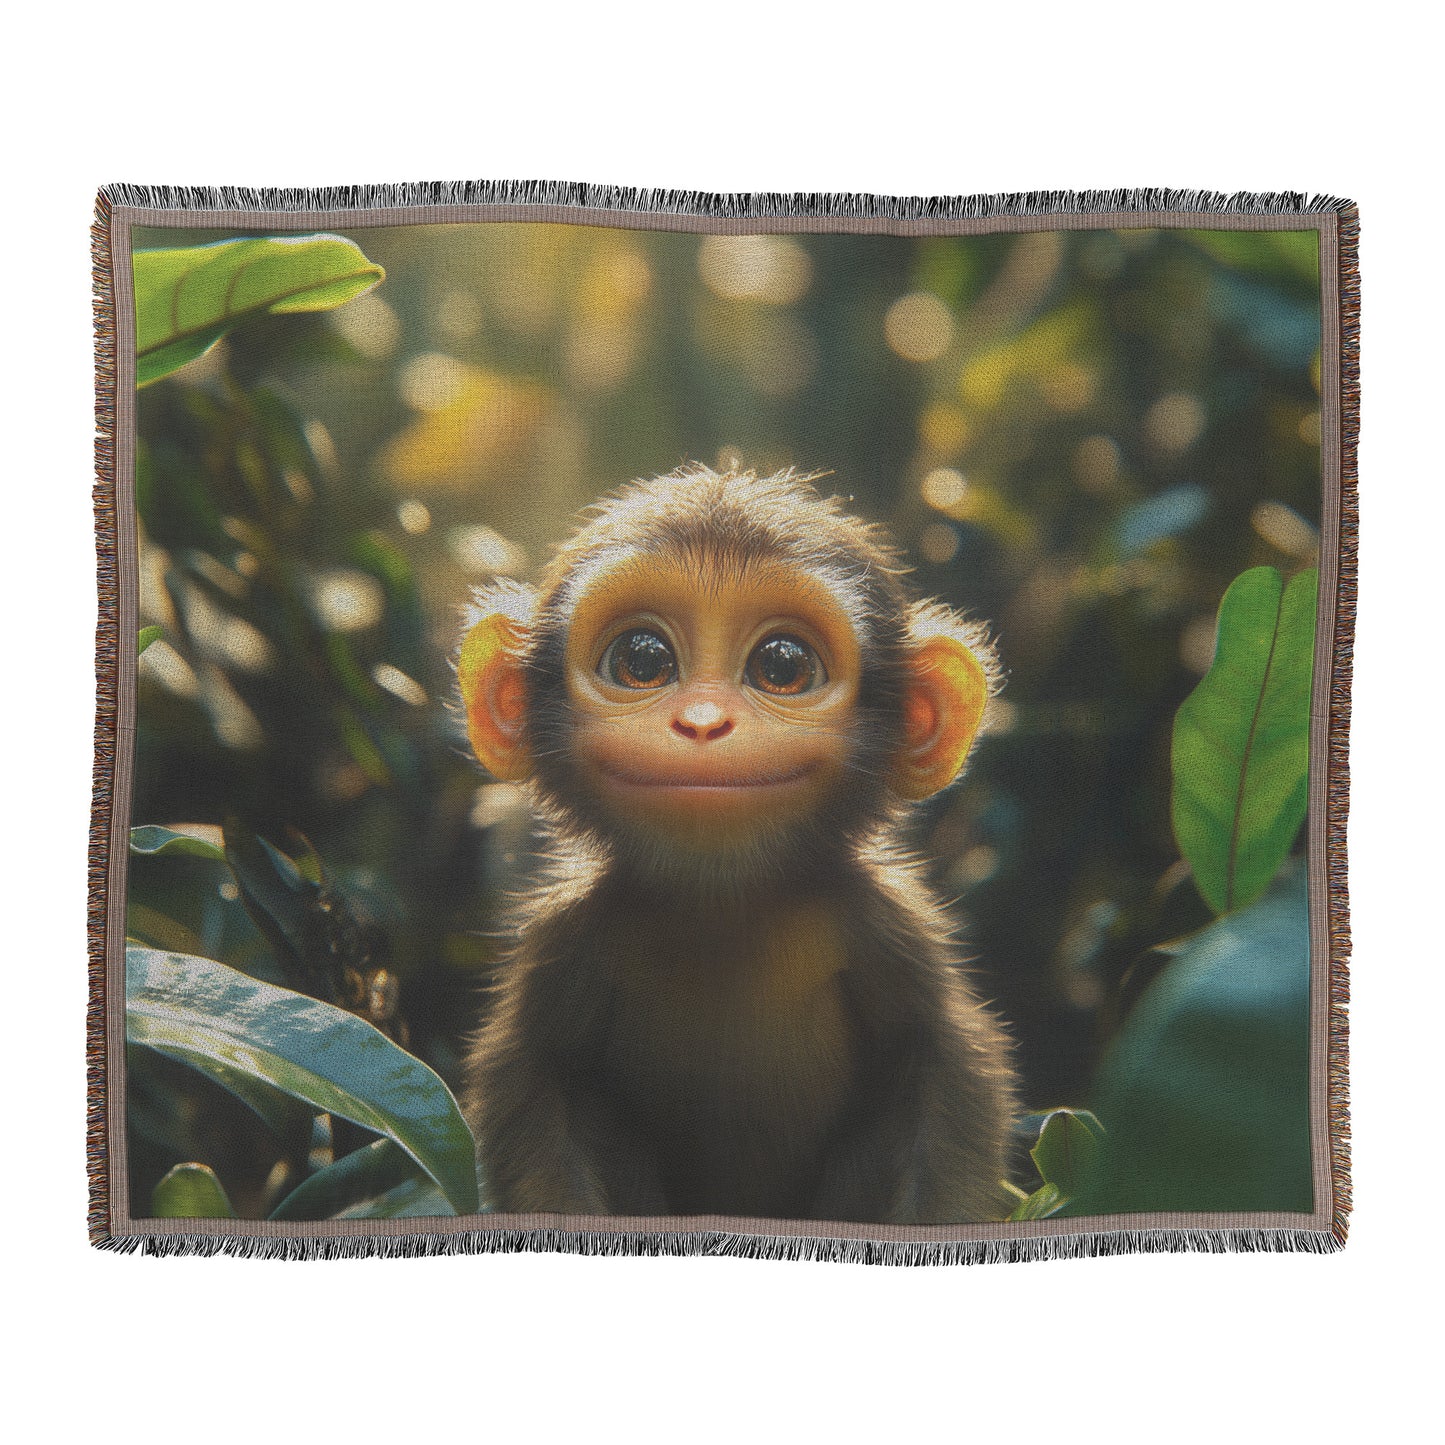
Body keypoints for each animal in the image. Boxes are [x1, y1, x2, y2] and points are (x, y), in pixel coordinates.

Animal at [456, 464, 1017, 1223]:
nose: (702, 721)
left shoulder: (885, 925)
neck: (723, 904)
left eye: (782, 666)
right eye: (642, 660)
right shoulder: (568, 939)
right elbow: (536, 1083)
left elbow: (946, 1063)